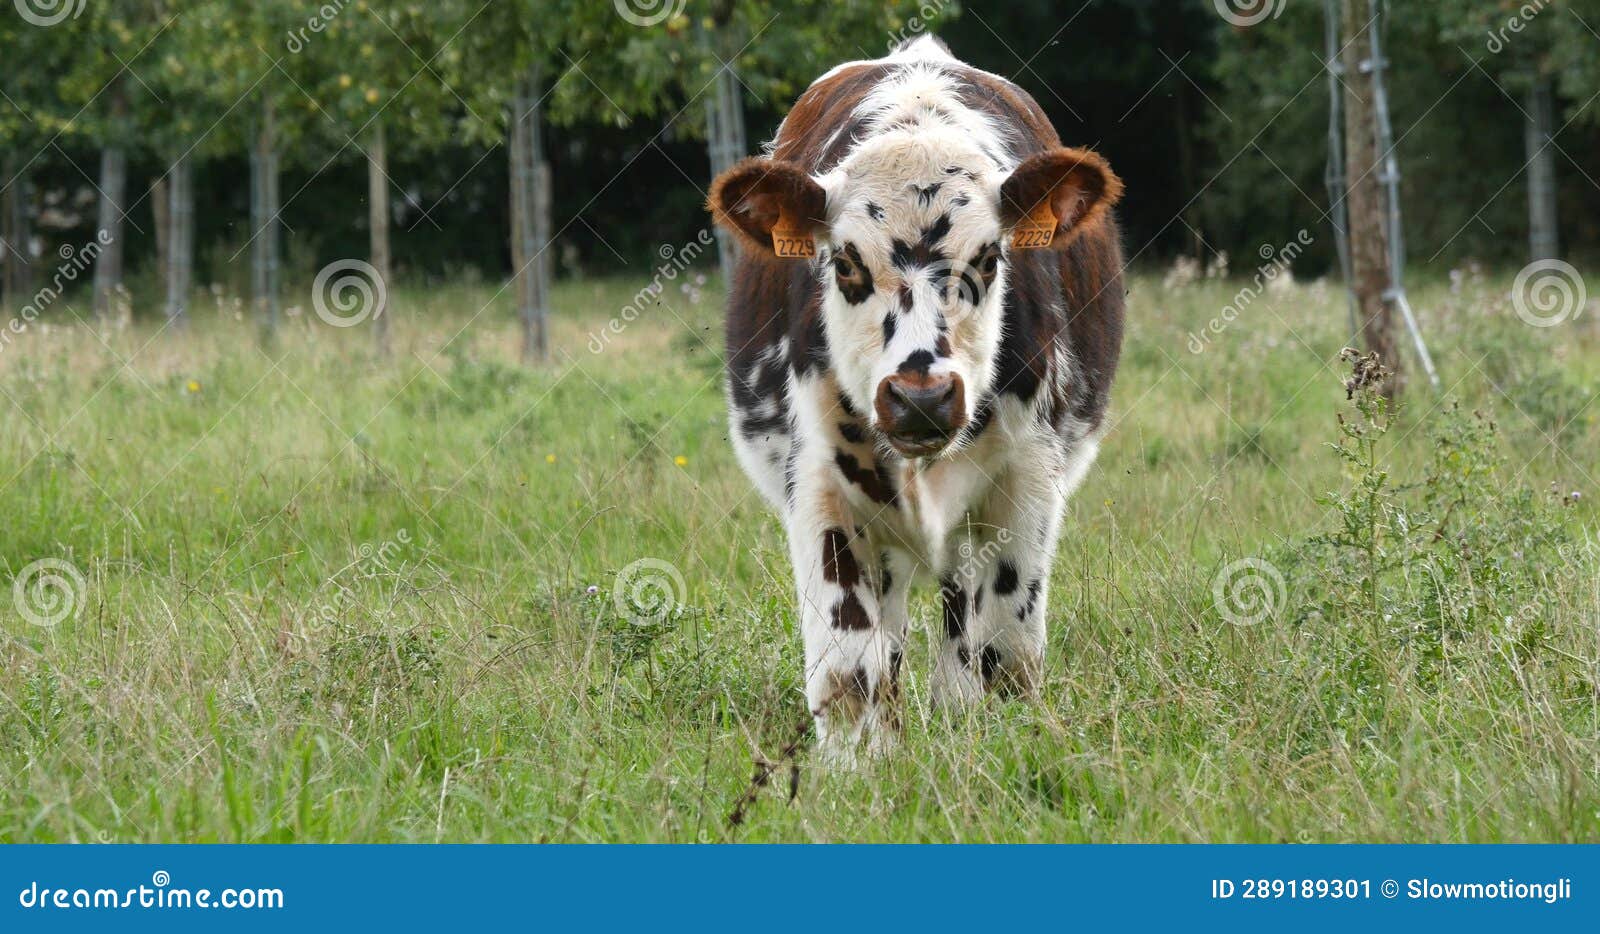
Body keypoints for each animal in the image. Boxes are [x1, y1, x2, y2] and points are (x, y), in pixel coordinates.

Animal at [707, 35, 1125, 761]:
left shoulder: (1026, 483)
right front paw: (861, 770)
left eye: (988, 259)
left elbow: (1006, 655)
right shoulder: (822, 488)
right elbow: (850, 670)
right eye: (845, 262)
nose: (920, 398)